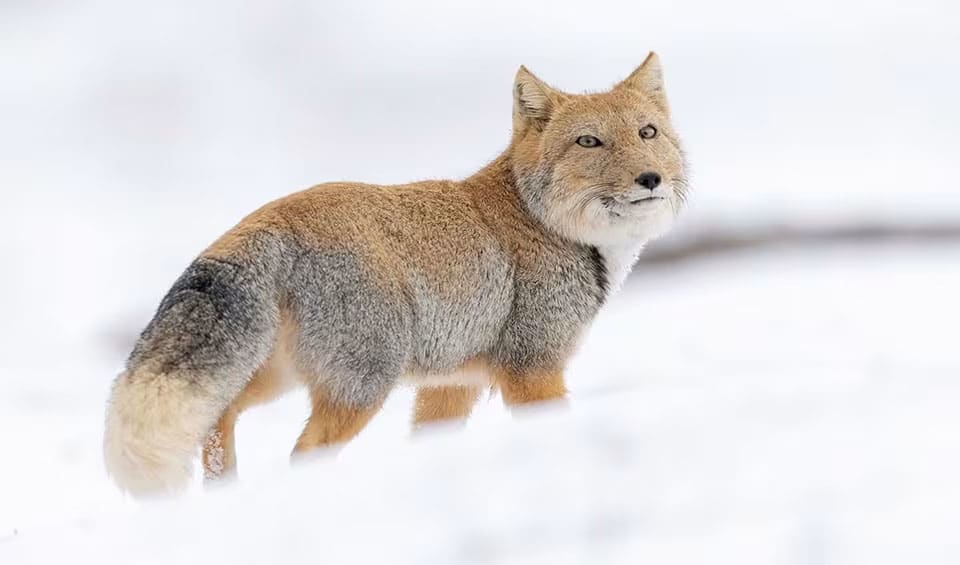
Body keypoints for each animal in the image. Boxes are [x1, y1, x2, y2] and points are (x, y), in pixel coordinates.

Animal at [103, 52, 689, 496]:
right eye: (589, 142)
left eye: (647, 132)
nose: (650, 178)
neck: (540, 219)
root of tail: (268, 218)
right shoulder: (533, 368)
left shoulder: (453, 385)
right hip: (361, 386)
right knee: (300, 454)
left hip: (282, 376)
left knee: (217, 418)